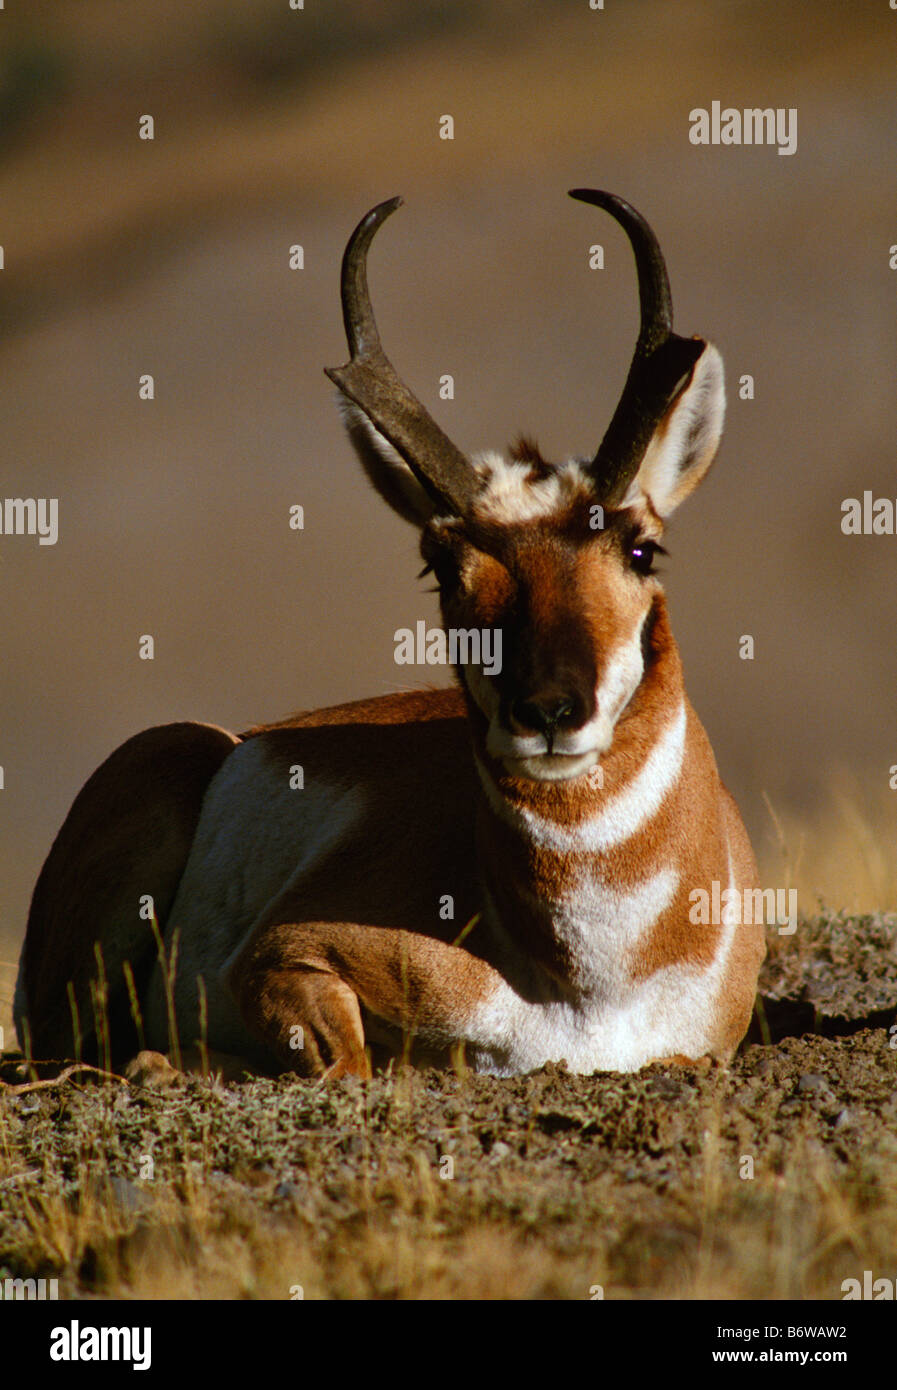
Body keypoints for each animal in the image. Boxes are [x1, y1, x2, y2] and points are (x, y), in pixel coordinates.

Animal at [15, 190, 765, 1080]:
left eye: (641, 547)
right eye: (439, 566)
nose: (547, 712)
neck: (587, 988)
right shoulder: (279, 958)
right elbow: (346, 1059)